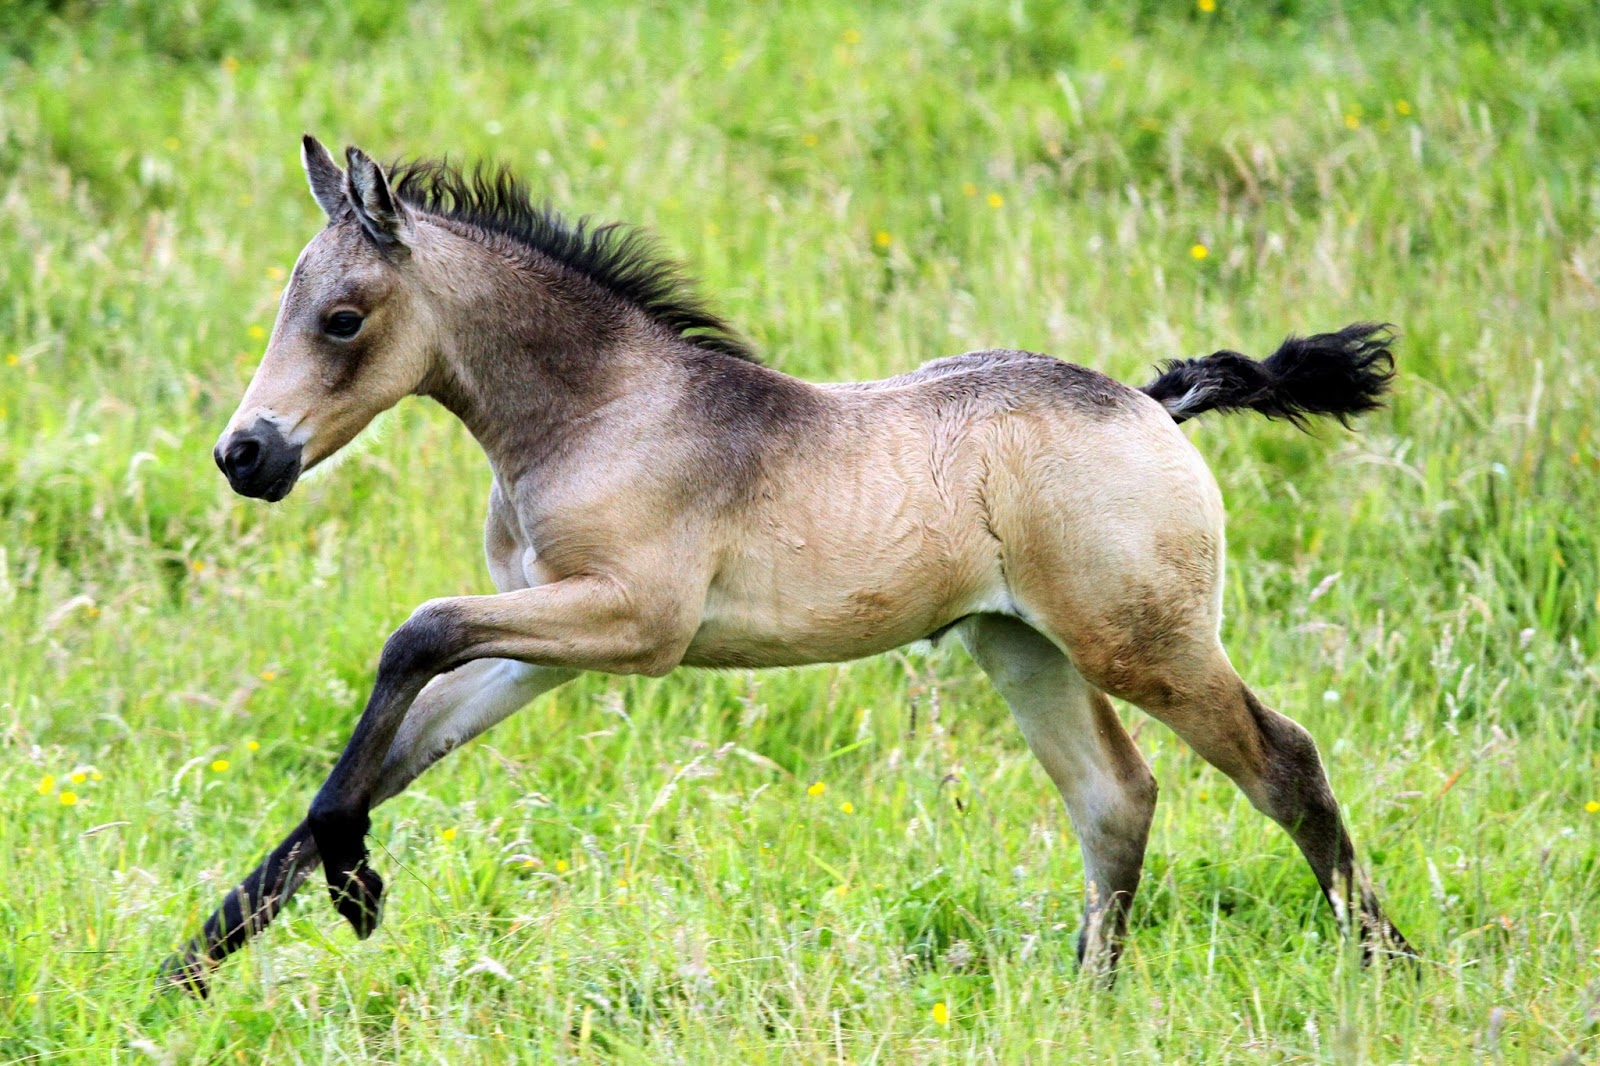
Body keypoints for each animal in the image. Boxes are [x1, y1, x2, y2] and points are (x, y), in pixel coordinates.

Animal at [161, 135, 1409, 994]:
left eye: (341, 317)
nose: (245, 455)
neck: (604, 409)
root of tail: (1153, 405)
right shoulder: (539, 644)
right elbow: (381, 758)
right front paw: (188, 967)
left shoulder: (631, 624)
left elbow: (410, 633)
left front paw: (356, 891)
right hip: (1021, 645)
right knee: (1114, 796)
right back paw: (1088, 1000)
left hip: (1142, 639)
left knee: (1283, 762)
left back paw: (1388, 962)